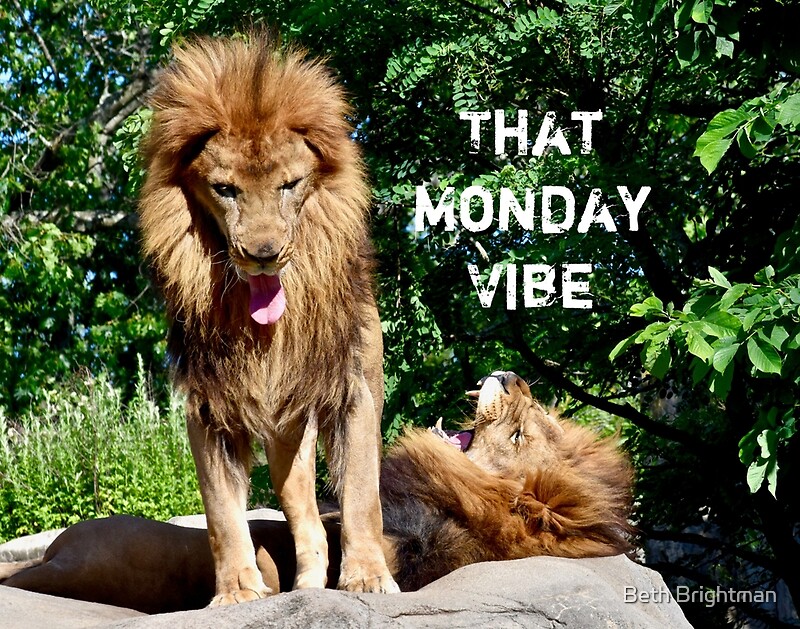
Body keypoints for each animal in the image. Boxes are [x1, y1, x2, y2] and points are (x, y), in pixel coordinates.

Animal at [136, 33, 396, 602]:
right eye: (225, 189)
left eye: (290, 184)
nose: (263, 254)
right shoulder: (207, 405)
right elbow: (220, 515)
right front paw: (237, 590)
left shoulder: (355, 391)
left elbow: (362, 496)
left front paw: (368, 576)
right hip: (283, 445)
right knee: (308, 521)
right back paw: (306, 589)